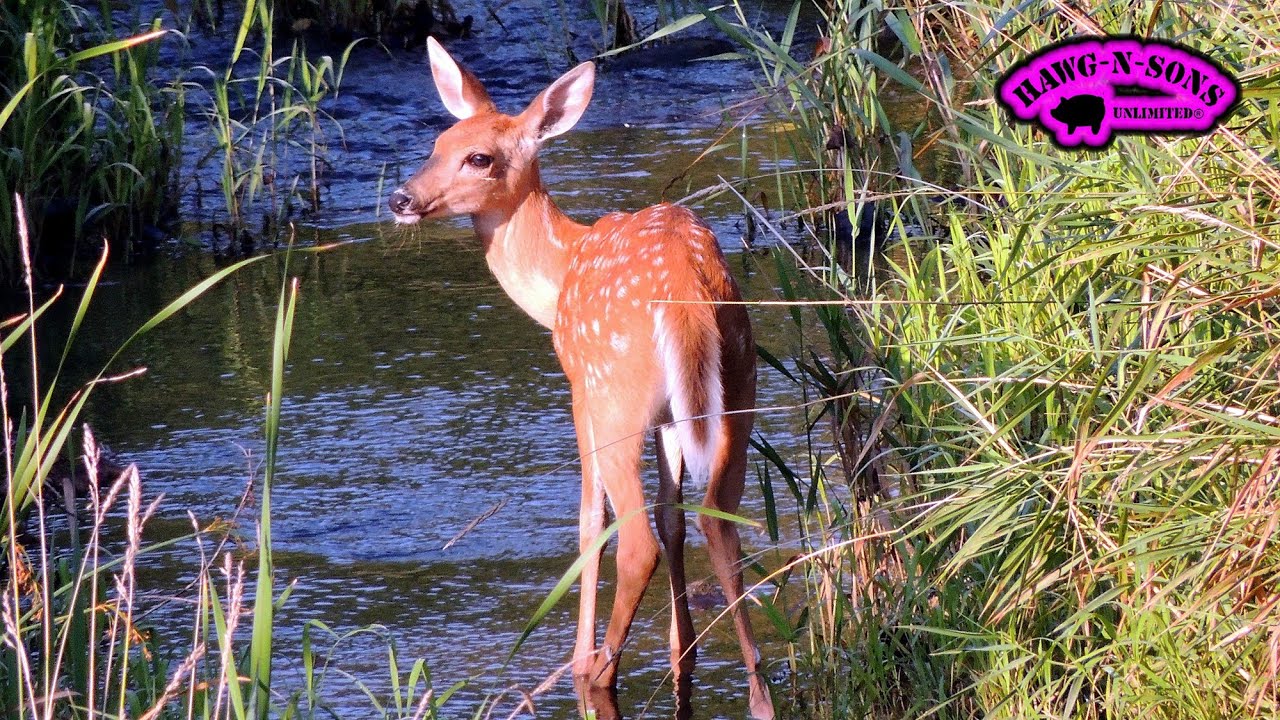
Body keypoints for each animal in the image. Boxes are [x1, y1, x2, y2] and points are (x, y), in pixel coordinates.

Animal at [388, 38, 775, 720]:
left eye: (479, 157)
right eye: (438, 140)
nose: (401, 199)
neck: (559, 273)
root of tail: (686, 292)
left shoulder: (578, 388)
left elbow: (591, 520)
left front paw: (582, 654)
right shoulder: (669, 418)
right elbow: (673, 514)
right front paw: (681, 652)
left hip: (616, 392)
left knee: (636, 539)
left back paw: (595, 671)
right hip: (738, 384)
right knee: (714, 520)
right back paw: (755, 688)